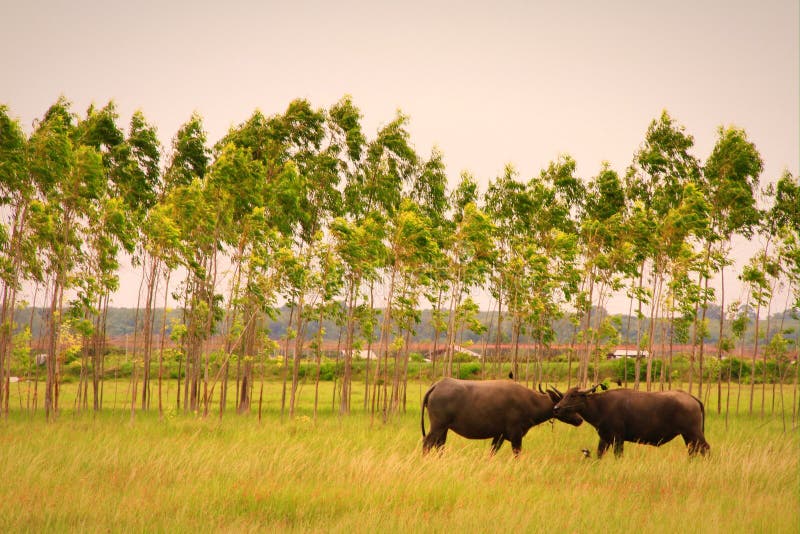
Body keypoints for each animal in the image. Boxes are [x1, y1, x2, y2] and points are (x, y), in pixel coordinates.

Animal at [421, 377, 583, 456]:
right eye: (564, 401)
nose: (580, 419)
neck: (531, 402)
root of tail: (437, 385)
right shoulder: (516, 434)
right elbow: (517, 453)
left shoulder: (498, 435)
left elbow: (492, 452)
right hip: (437, 426)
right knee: (427, 443)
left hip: (444, 429)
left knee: (439, 445)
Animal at [552, 385, 710, 458]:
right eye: (564, 395)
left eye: (573, 396)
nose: (556, 408)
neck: (601, 406)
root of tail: (692, 398)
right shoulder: (604, 438)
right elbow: (599, 454)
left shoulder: (617, 438)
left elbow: (618, 455)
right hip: (687, 435)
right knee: (693, 450)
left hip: (694, 433)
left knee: (705, 449)